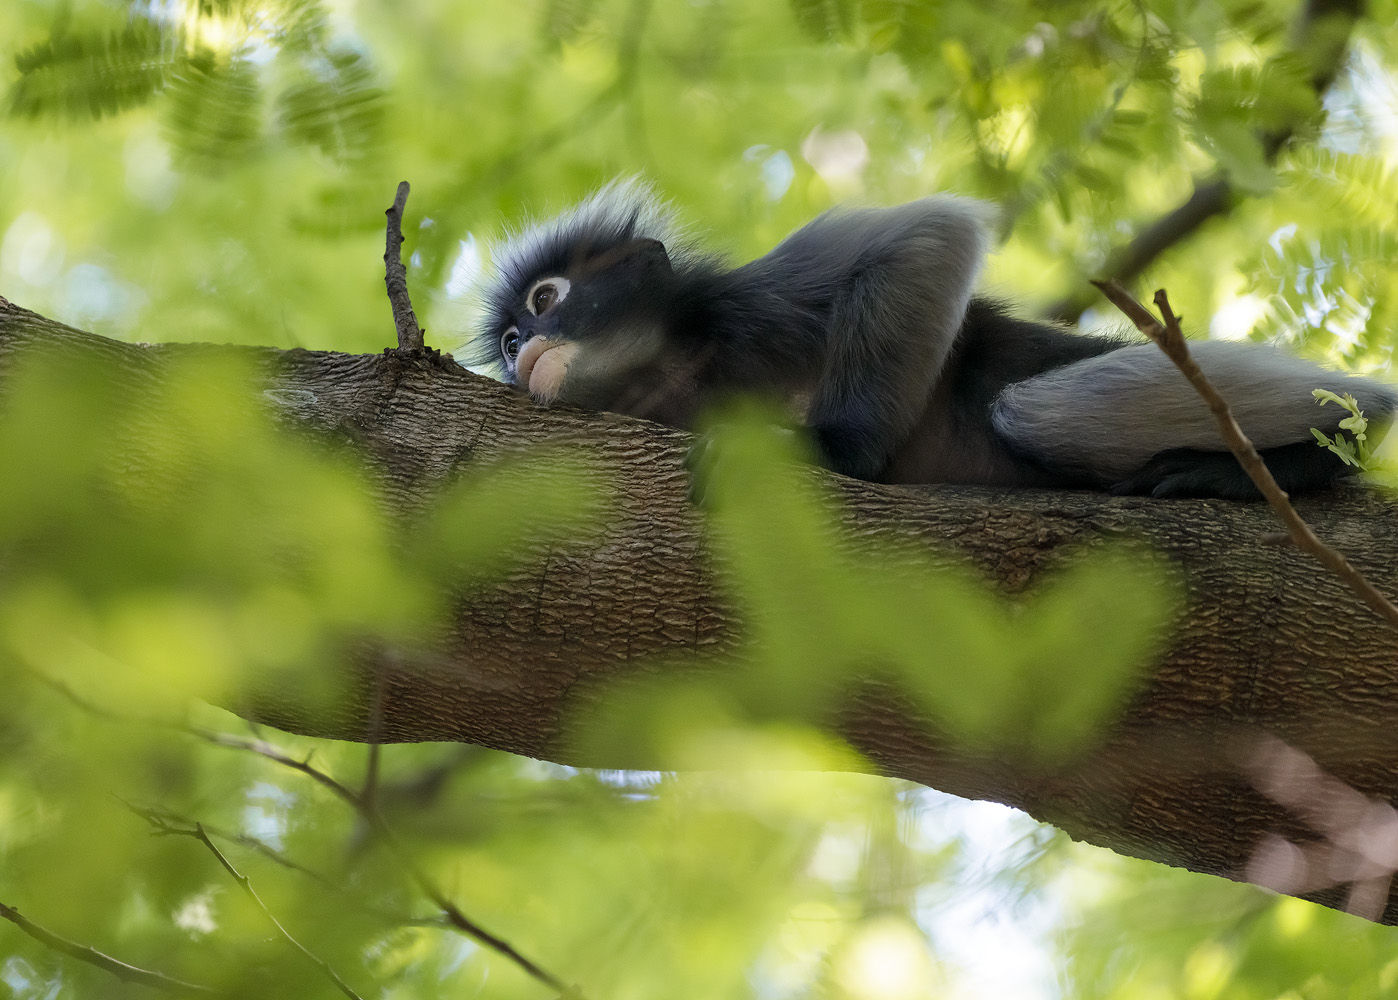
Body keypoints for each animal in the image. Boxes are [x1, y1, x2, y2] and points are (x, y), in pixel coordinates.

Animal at [467, 179, 1397, 500]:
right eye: (508, 338)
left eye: (548, 299)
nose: (525, 349)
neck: (687, 375)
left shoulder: (758, 300)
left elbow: (928, 231)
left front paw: (836, 450)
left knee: (1031, 407)